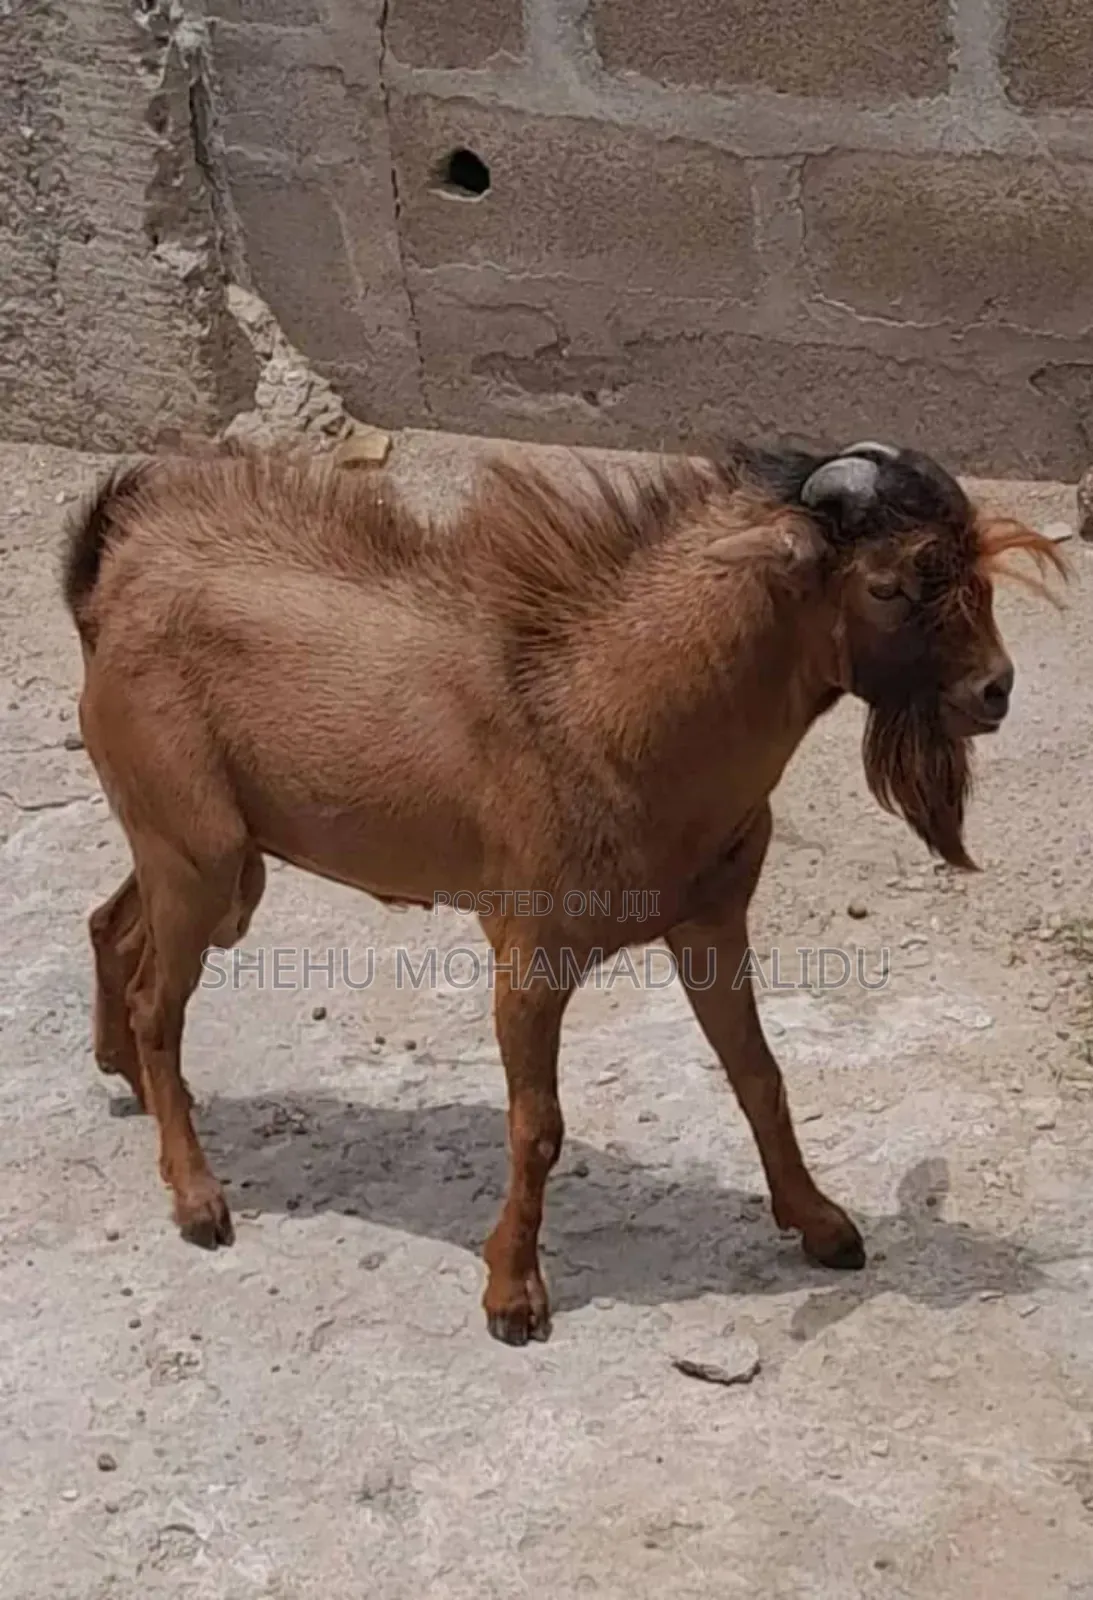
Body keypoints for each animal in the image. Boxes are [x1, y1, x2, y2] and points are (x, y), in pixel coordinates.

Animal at [62, 436, 1063, 1345]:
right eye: (889, 585)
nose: (995, 690)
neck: (612, 709)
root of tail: (110, 587)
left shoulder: (708, 923)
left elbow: (760, 1076)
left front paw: (820, 1225)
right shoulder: (530, 959)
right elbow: (536, 1125)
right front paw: (513, 1295)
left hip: (206, 858)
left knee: (112, 929)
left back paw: (139, 1090)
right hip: (199, 858)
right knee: (157, 1000)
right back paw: (197, 1196)